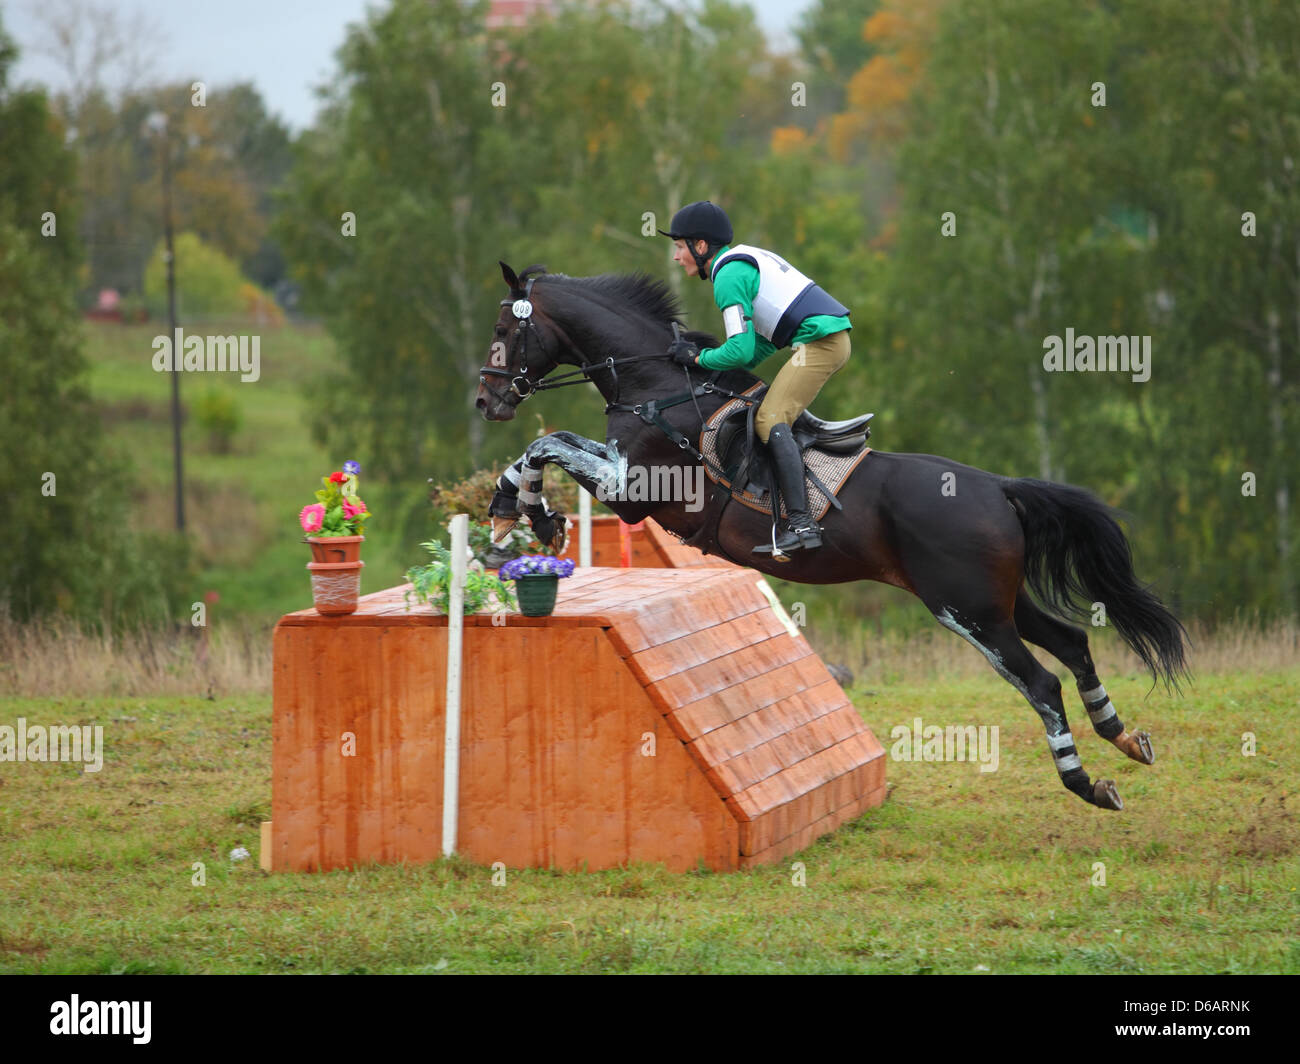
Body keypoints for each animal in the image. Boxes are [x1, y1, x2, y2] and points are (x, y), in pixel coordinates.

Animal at [474, 261, 1190, 811]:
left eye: (505, 330)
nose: (487, 402)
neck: (658, 385)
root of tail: (997, 486)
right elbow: (550, 443)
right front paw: (519, 511)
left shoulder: (632, 491)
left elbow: (546, 443)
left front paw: (527, 512)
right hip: (999, 601)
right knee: (1072, 642)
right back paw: (1124, 738)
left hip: (967, 611)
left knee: (1041, 684)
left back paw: (1087, 785)